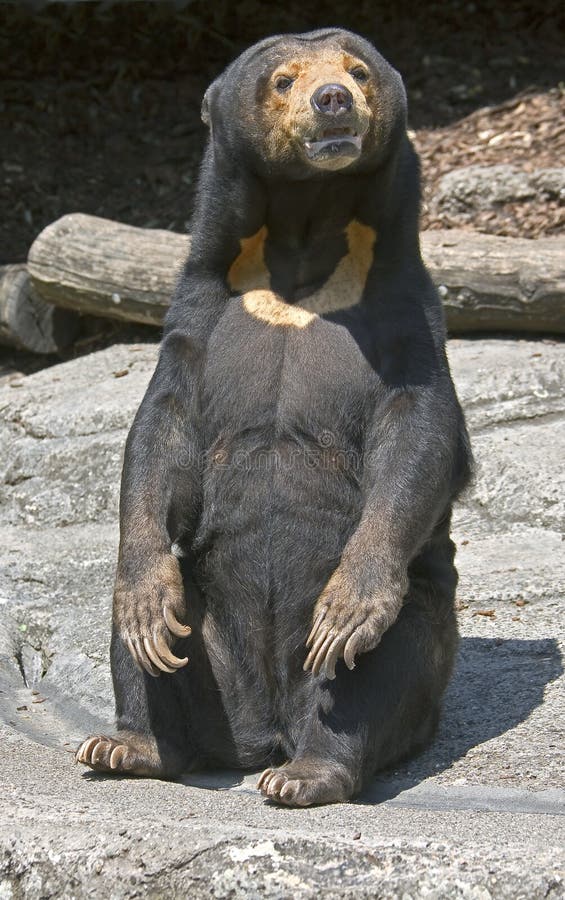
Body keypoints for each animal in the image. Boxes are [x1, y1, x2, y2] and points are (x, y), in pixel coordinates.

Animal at [76, 28, 471, 807]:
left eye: (356, 70)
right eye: (284, 80)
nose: (333, 101)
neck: (304, 236)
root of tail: (260, 727)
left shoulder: (400, 307)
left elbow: (418, 428)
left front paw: (352, 602)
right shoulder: (204, 306)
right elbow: (164, 424)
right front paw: (144, 599)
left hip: (413, 616)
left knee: (365, 674)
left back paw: (307, 770)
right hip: (205, 616)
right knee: (149, 643)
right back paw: (130, 742)